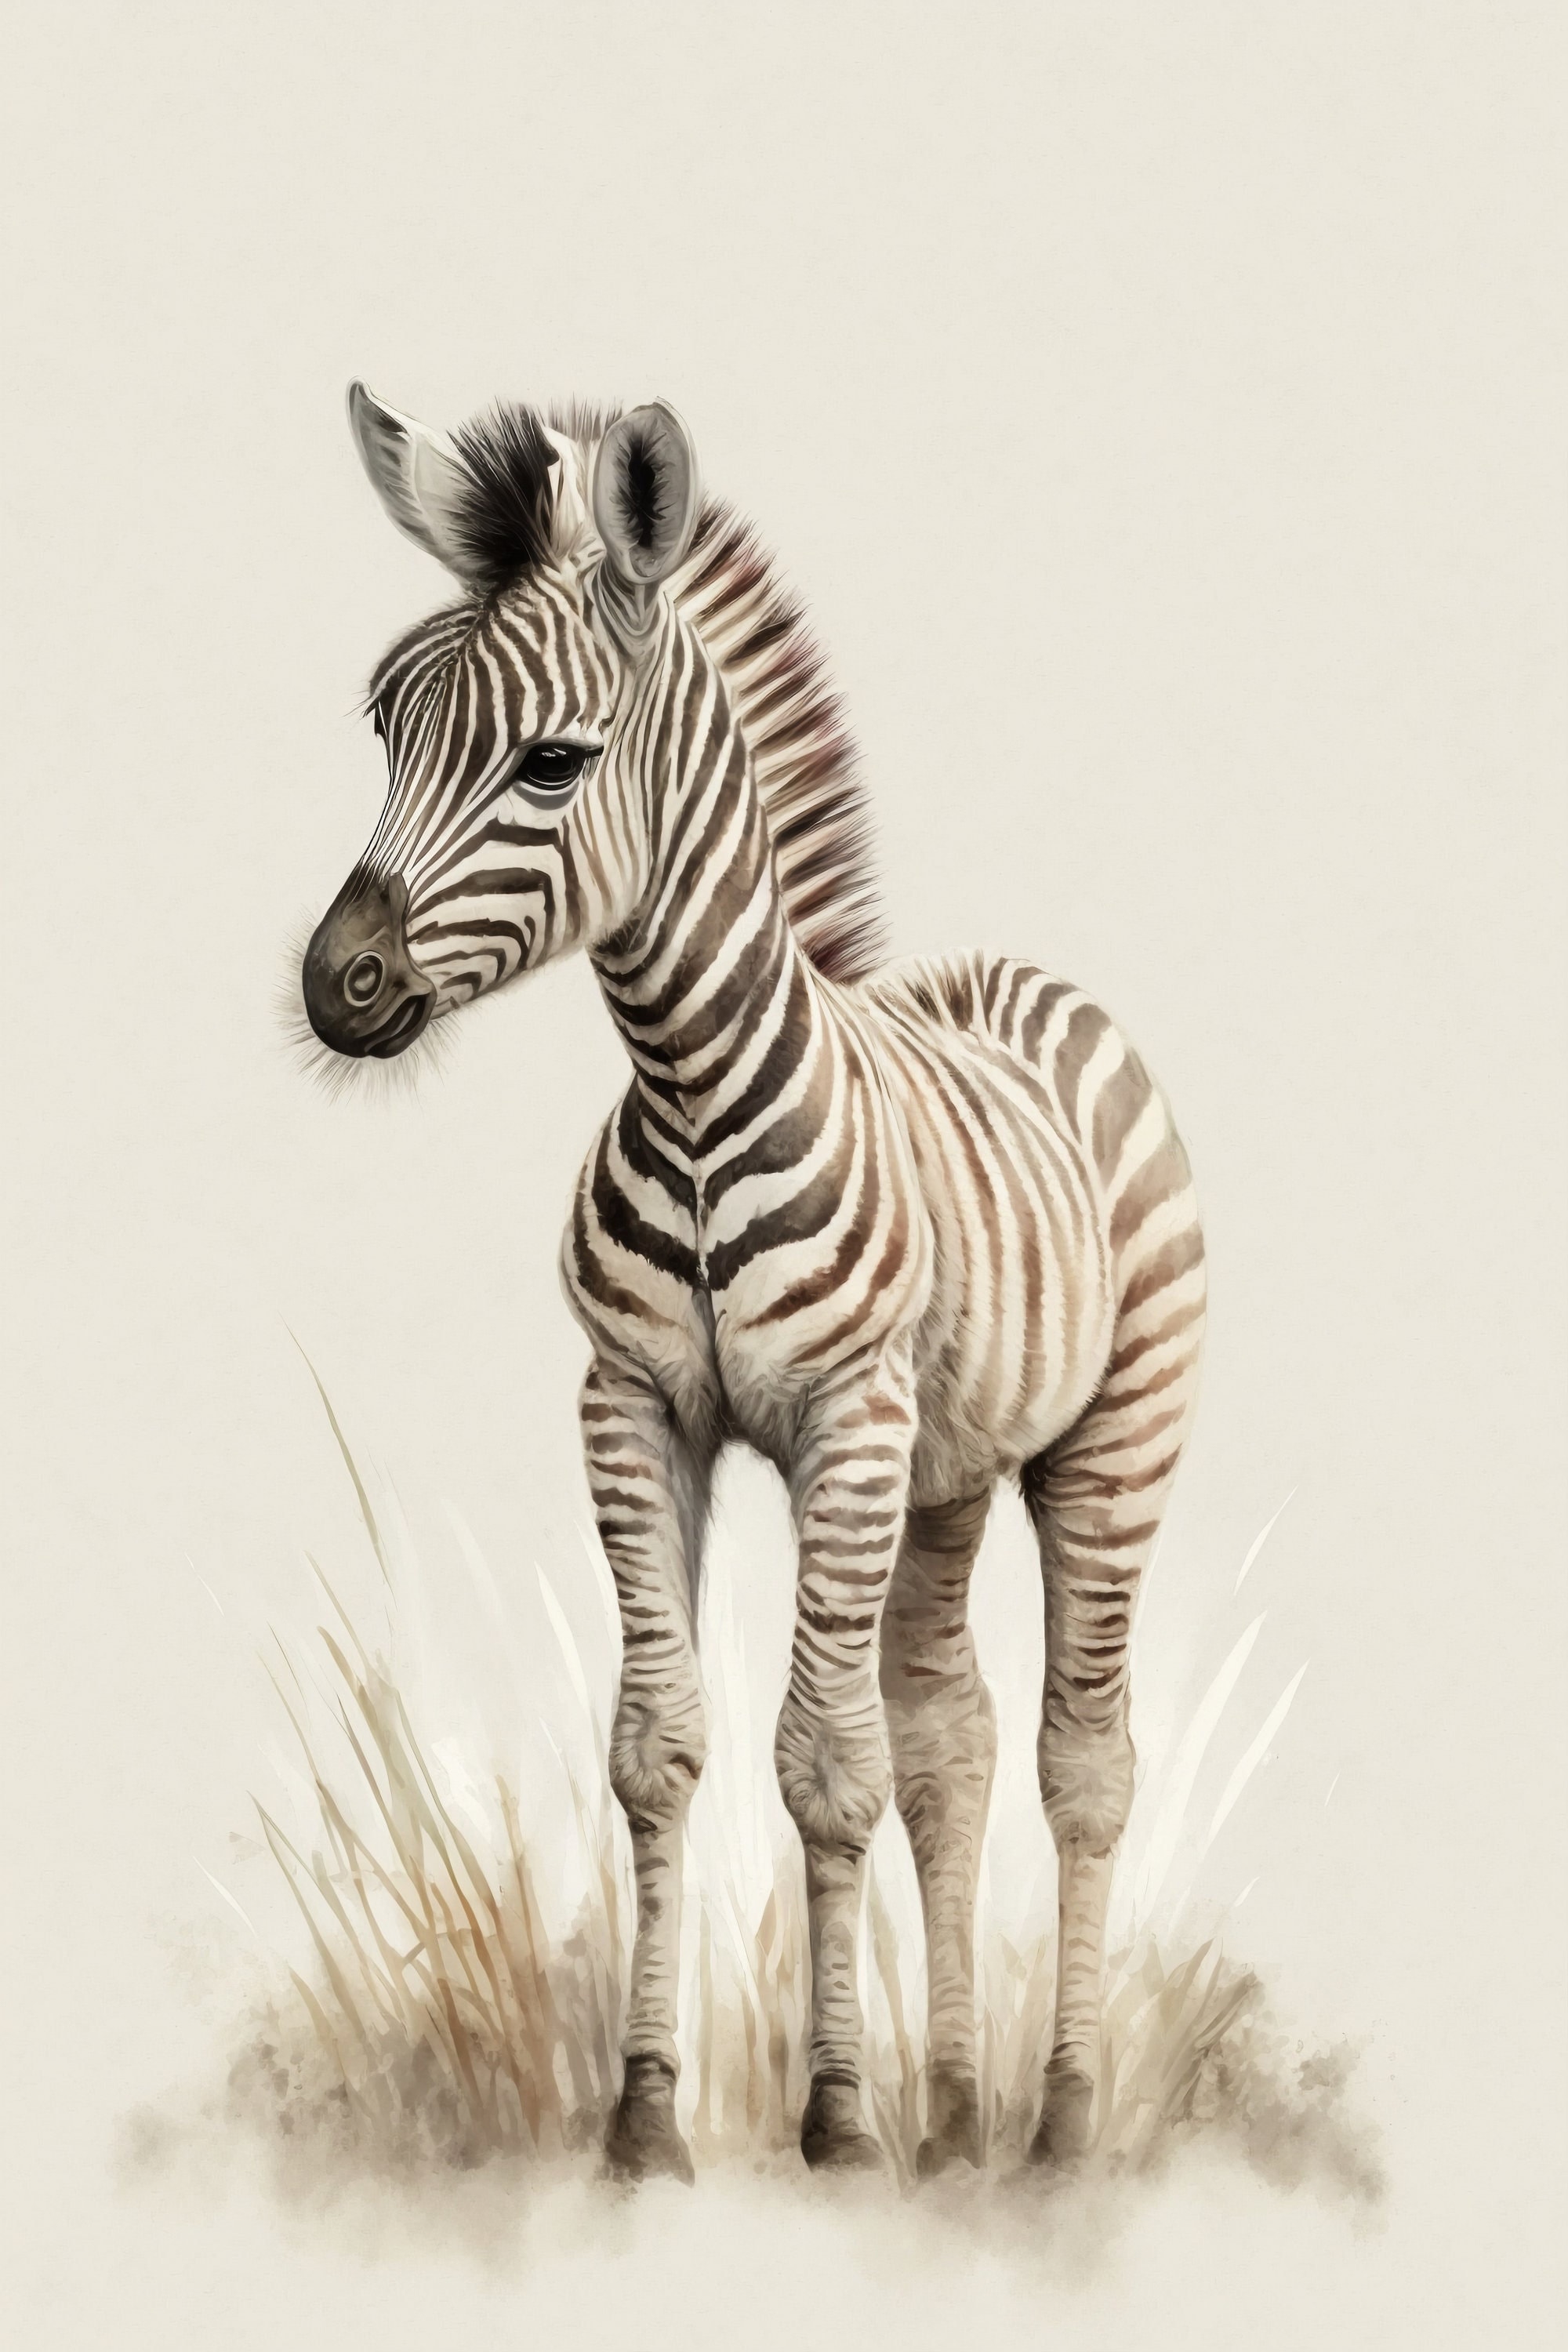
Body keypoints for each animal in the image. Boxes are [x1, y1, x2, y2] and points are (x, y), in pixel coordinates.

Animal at [300, 384, 1207, 2182]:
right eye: (385, 727)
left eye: (551, 761)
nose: (331, 983)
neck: (695, 1085)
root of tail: (1018, 975)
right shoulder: (631, 1406)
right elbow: (667, 1754)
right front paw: (650, 2114)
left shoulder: (844, 1424)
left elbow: (825, 1766)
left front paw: (836, 2118)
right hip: (947, 1469)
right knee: (953, 1739)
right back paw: (959, 2116)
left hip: (1108, 1443)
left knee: (1080, 1759)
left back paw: (1060, 2120)